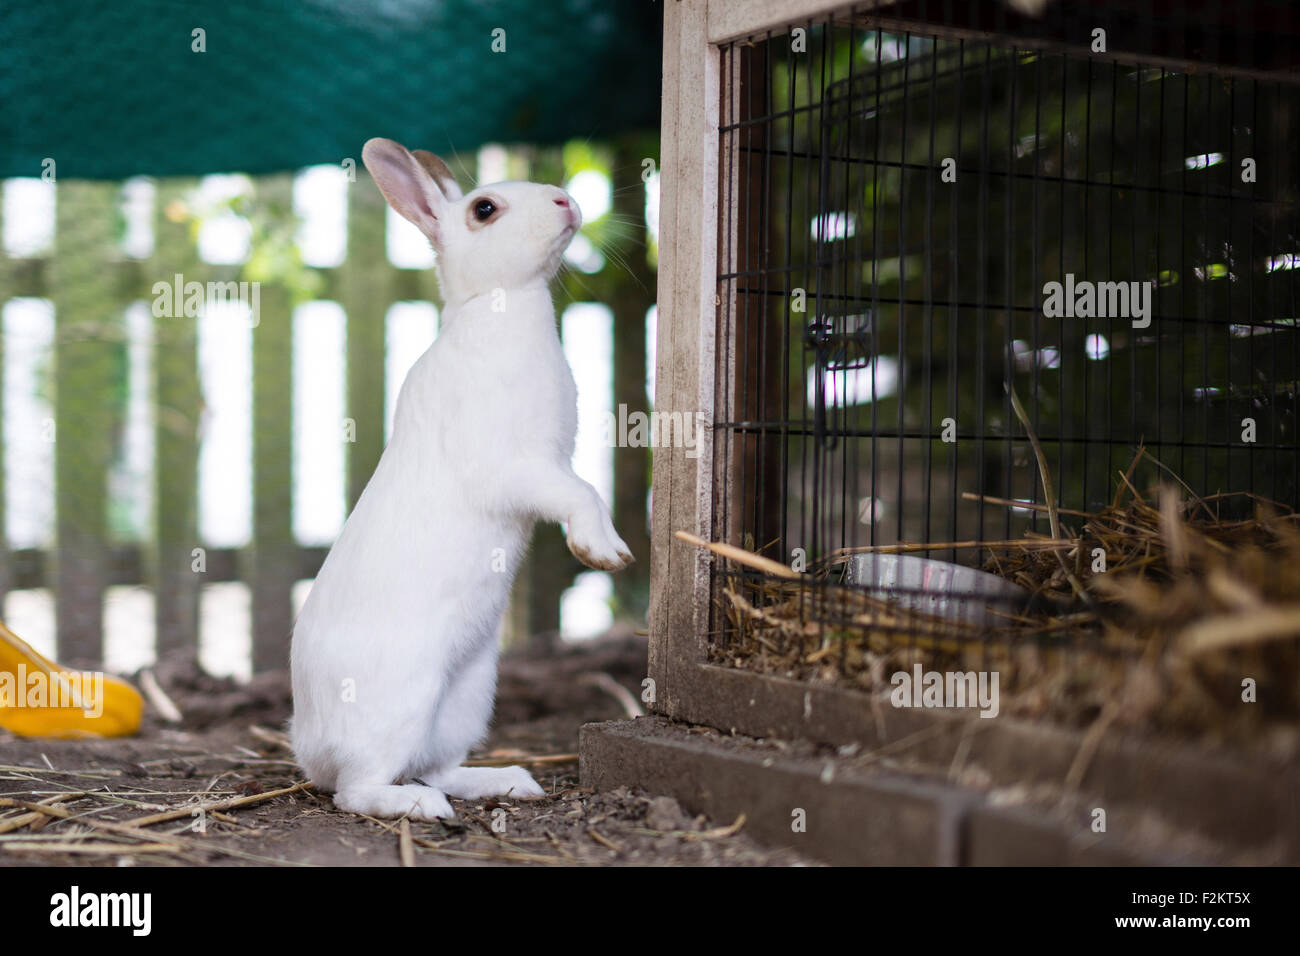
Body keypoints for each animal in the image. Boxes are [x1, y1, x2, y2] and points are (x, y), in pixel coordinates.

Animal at [289, 137, 634, 821]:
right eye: (484, 209)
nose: (567, 201)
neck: (497, 308)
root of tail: (308, 745)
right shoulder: (521, 468)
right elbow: (581, 493)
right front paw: (602, 551)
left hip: (468, 698)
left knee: (438, 765)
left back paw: (510, 781)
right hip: (404, 701)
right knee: (359, 789)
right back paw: (423, 808)